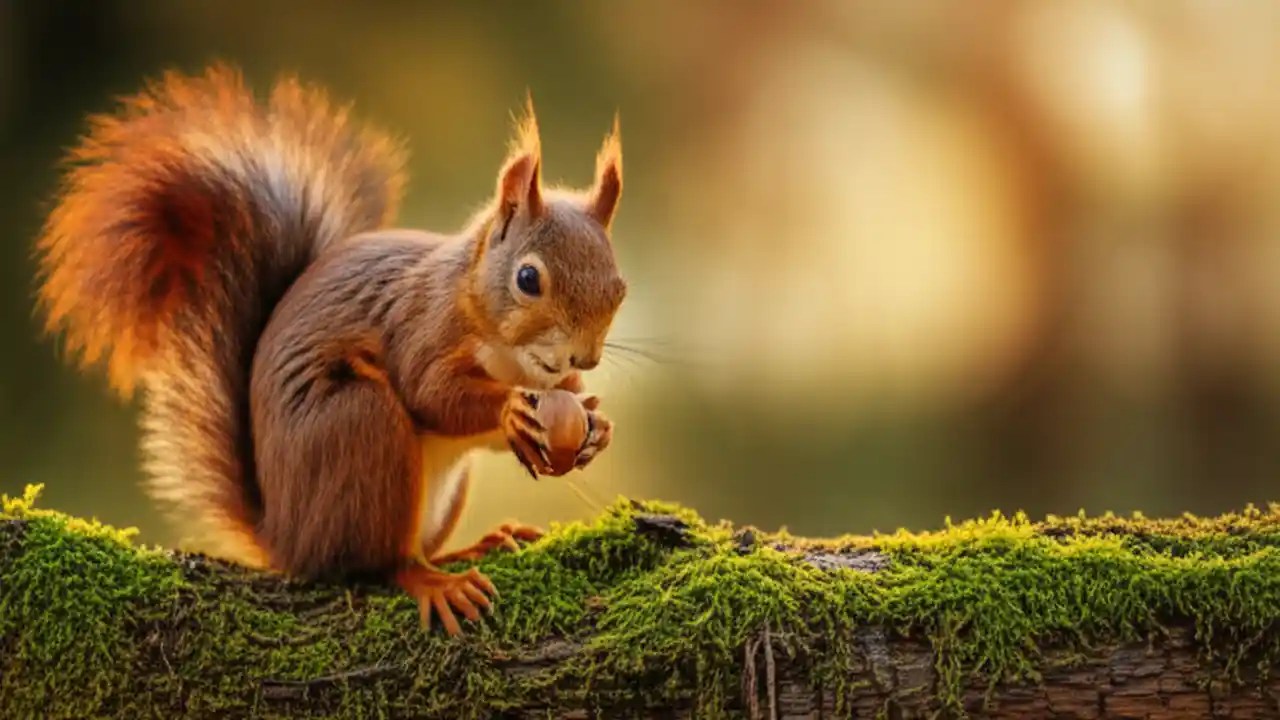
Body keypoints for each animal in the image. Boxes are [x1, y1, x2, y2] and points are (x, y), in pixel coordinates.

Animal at [34, 63, 626, 635]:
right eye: (528, 279)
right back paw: (434, 581)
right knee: (380, 563)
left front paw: (595, 424)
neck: (507, 352)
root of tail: (286, 538)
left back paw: (475, 547)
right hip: (360, 426)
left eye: (619, 289)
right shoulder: (421, 326)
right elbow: (431, 393)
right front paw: (511, 411)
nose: (584, 358)